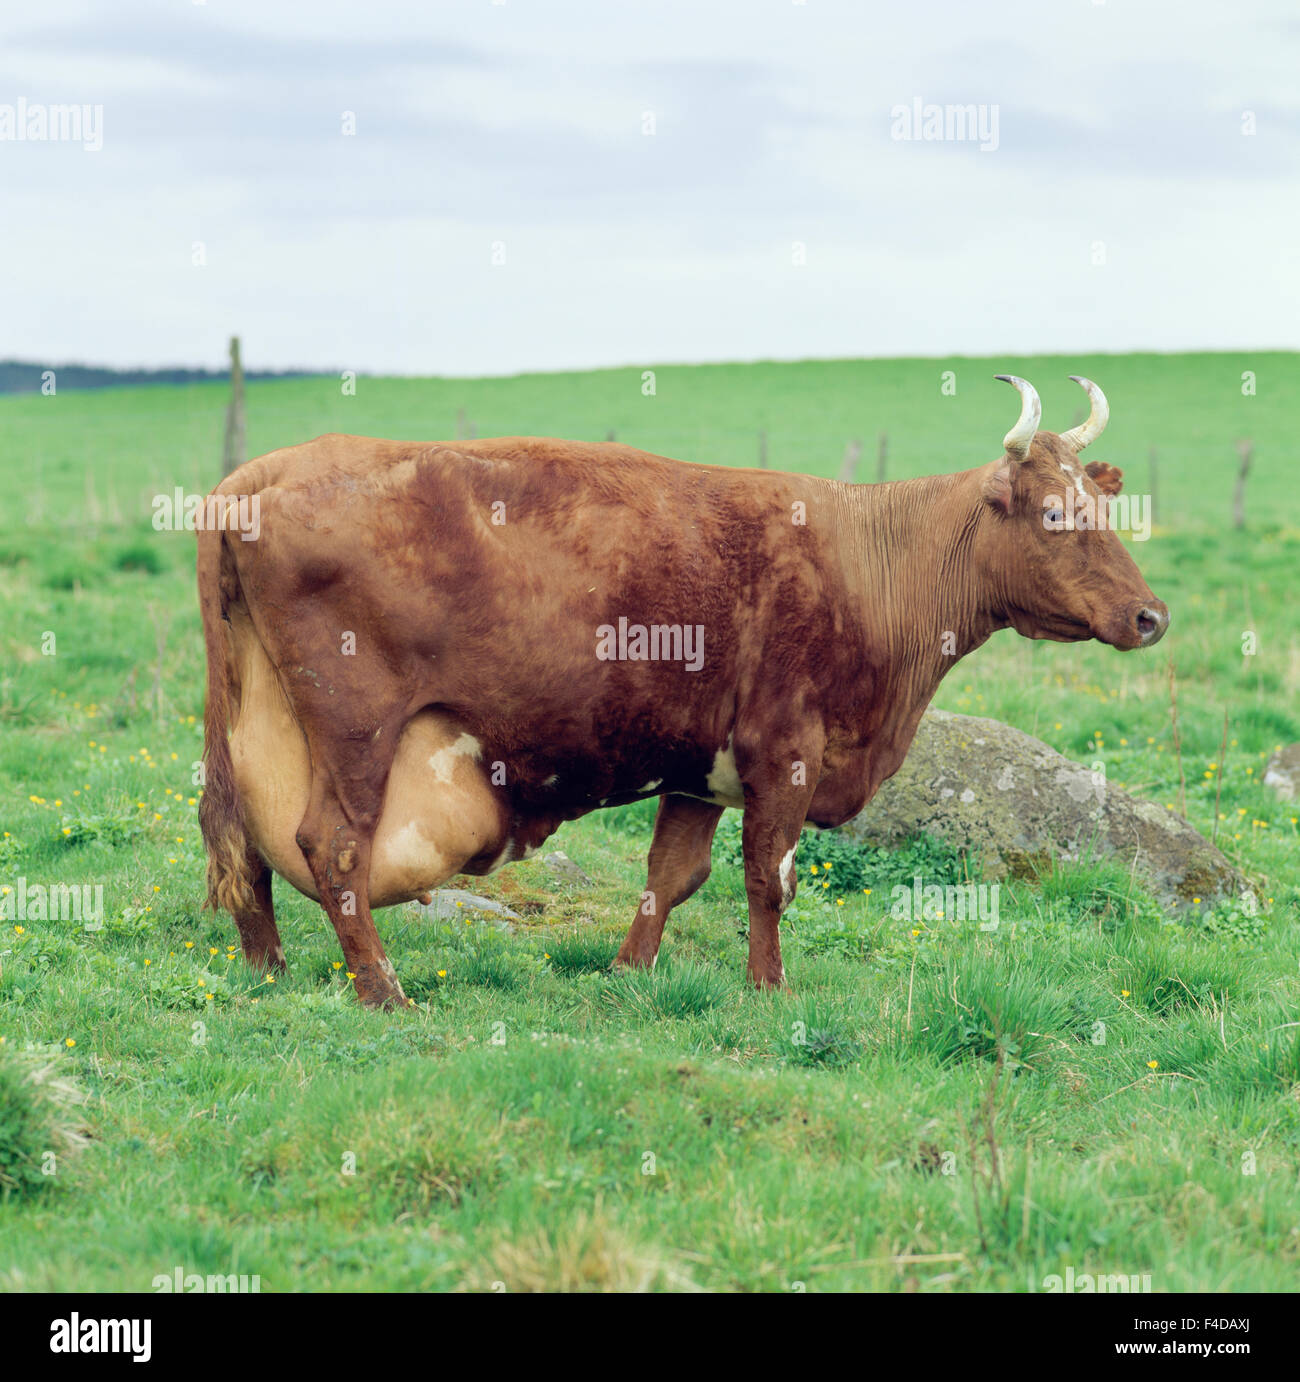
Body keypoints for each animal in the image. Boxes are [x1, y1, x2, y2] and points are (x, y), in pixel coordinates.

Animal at [196, 374, 1168, 1008]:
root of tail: (255, 474)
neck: (864, 560)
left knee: (241, 839)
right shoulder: (786, 750)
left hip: (252, 723)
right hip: (358, 731)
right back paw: (384, 991)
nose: (1150, 616)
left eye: (1104, 509)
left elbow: (672, 875)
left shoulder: (700, 767)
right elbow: (768, 878)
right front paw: (770, 989)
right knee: (332, 848)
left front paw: (631, 973)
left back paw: (268, 970)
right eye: (1055, 514)